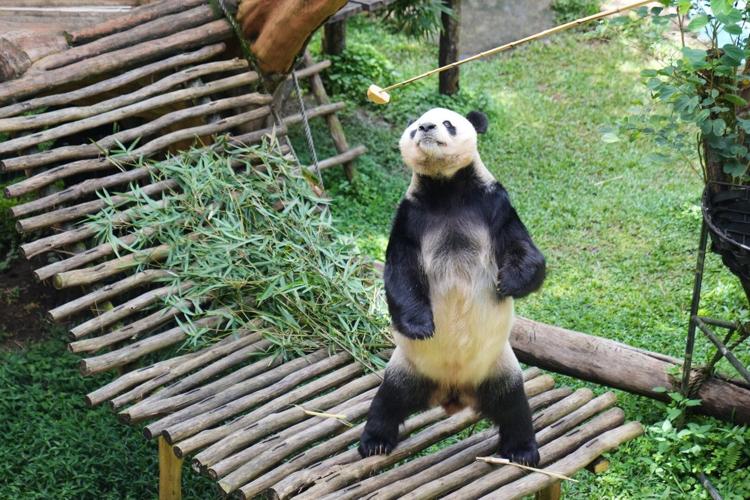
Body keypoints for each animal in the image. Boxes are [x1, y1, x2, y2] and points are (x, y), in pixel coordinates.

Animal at [358, 107, 546, 466]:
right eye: (414, 127)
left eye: (448, 123)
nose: (426, 128)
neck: (446, 190)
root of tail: (454, 391)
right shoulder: (409, 217)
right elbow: (401, 272)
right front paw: (421, 326)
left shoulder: (494, 205)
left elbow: (525, 250)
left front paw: (508, 283)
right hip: (407, 367)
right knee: (388, 400)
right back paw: (374, 442)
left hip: (499, 366)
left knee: (514, 406)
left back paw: (522, 450)